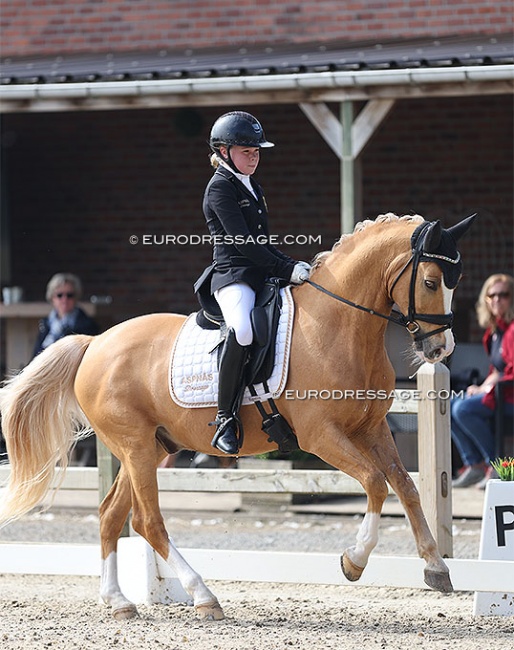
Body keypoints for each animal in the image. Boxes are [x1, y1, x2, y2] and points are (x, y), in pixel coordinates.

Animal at [0, 212, 475, 621]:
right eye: (430, 281)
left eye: (456, 282)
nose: (440, 350)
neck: (340, 324)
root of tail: (94, 343)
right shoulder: (320, 436)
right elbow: (376, 483)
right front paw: (353, 561)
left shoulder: (371, 428)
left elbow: (406, 485)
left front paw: (436, 567)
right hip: (134, 448)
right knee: (147, 522)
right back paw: (204, 596)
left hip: (148, 447)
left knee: (110, 515)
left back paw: (118, 601)